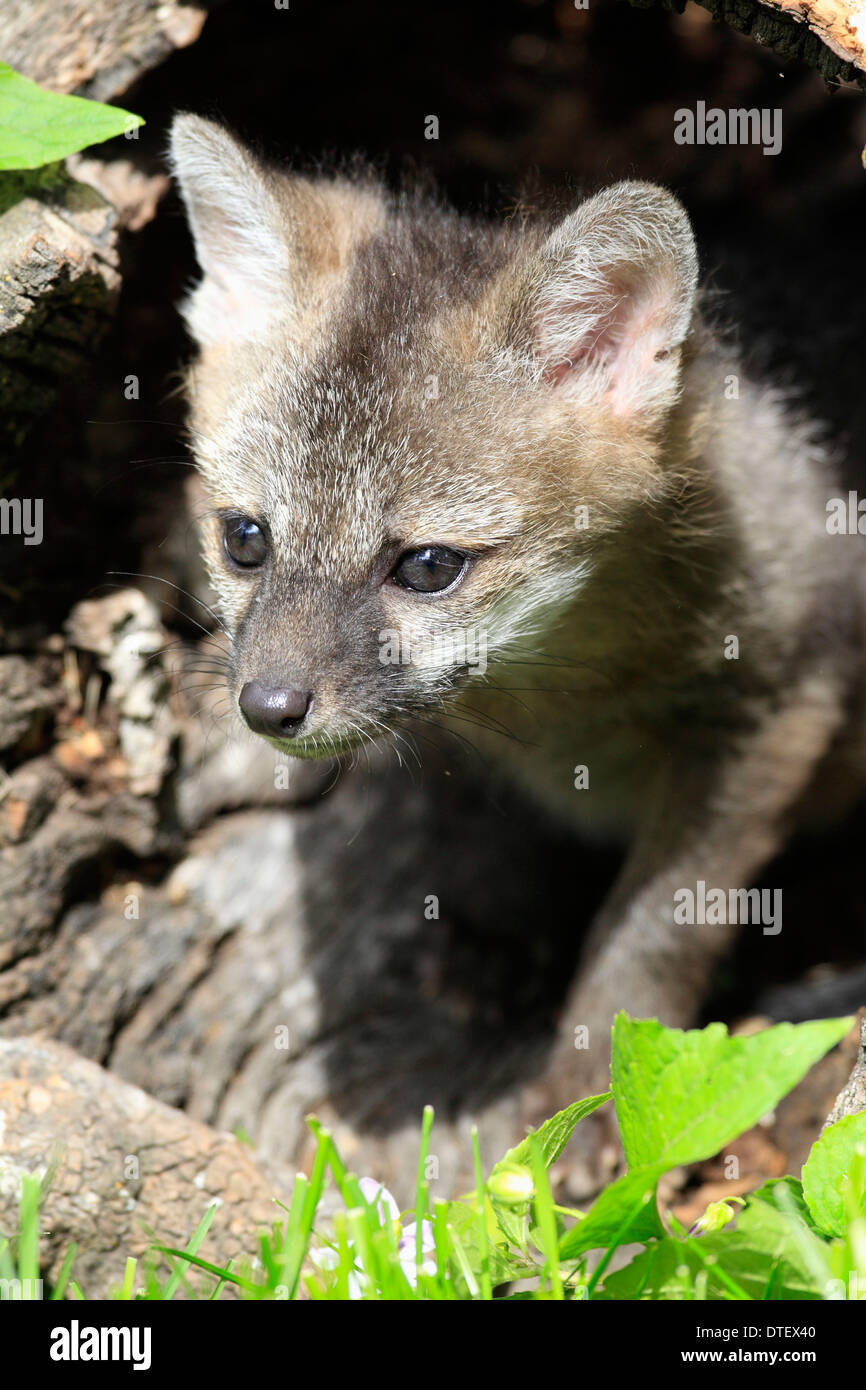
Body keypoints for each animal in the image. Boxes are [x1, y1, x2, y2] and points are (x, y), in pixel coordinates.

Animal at [168, 113, 866, 1170]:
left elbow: (655, 924)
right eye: (245, 539)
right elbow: (489, 830)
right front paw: (496, 937)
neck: (578, 695)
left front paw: (598, 1094)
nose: (268, 708)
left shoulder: (776, 710)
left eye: (427, 566)